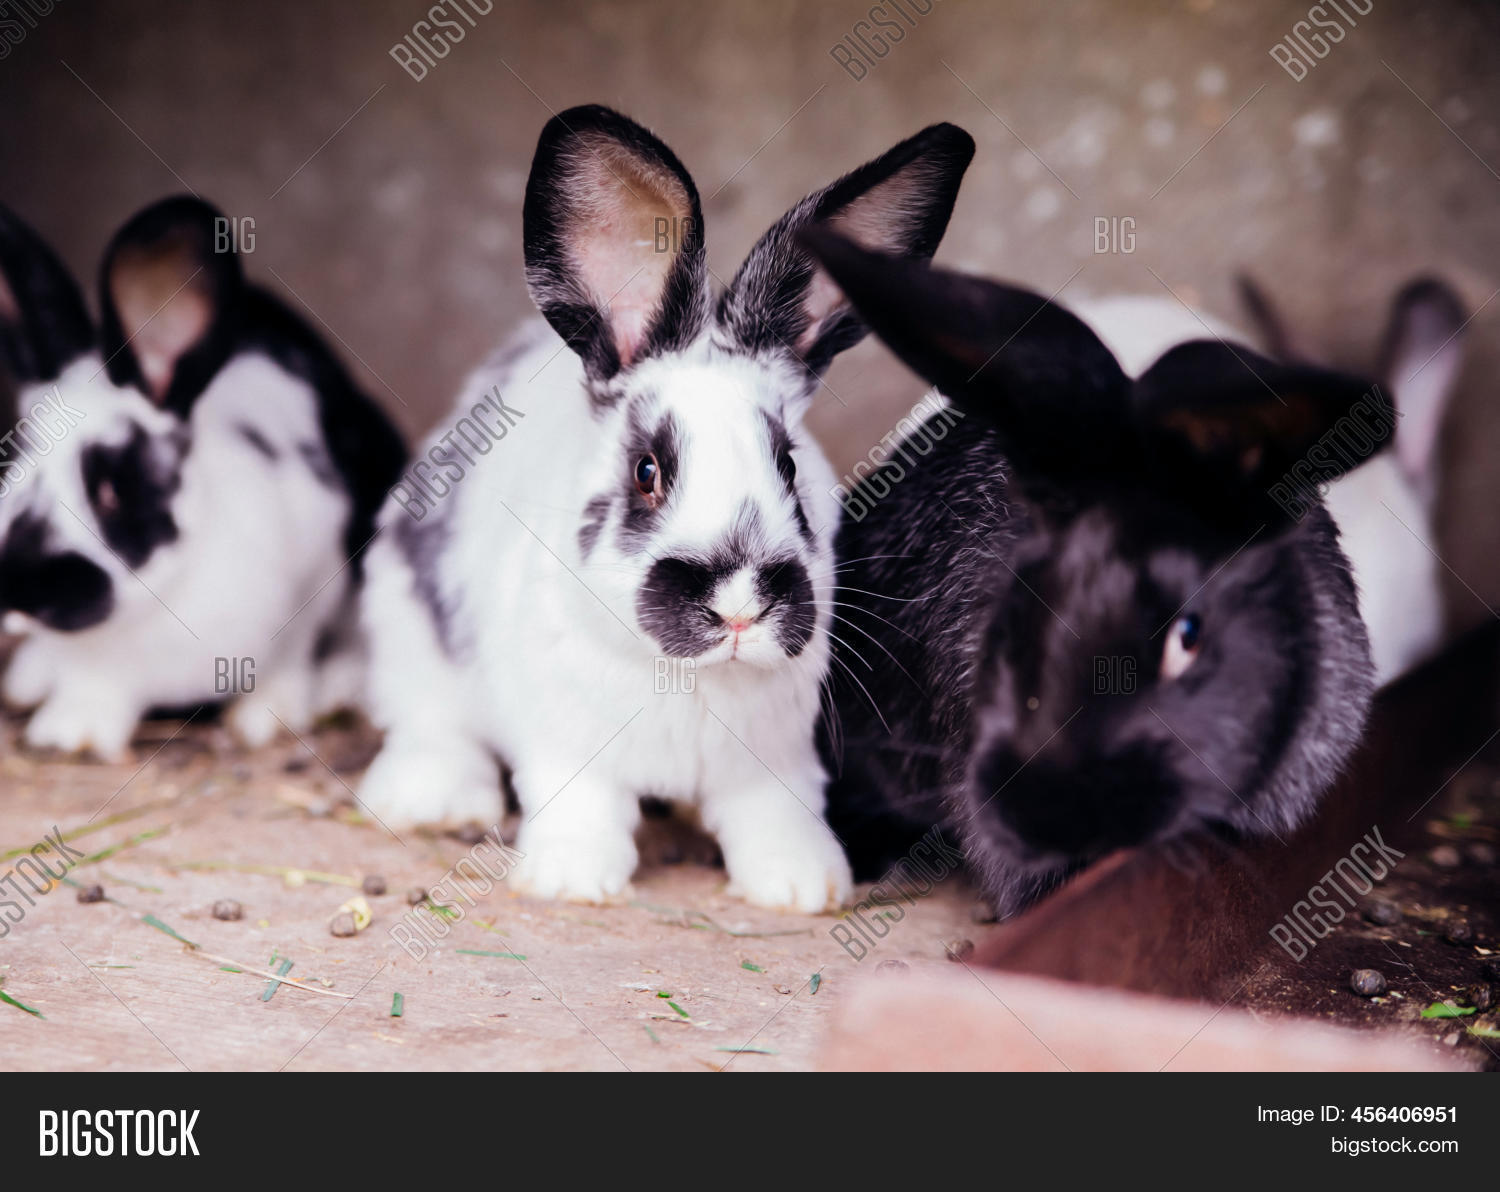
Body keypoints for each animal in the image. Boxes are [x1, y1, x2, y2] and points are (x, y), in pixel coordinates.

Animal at [0, 197, 406, 760]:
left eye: (112, 491)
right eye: (9, 467)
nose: (18, 588)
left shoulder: (310, 588)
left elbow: (290, 660)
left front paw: (264, 721)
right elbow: (92, 687)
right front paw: (70, 734)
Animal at [356, 104, 975, 912]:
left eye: (788, 465)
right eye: (647, 471)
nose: (740, 605)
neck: (689, 678)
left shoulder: (777, 759)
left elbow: (776, 815)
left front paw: (802, 885)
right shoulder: (564, 745)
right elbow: (581, 802)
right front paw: (573, 880)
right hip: (407, 625)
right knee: (426, 718)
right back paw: (429, 799)